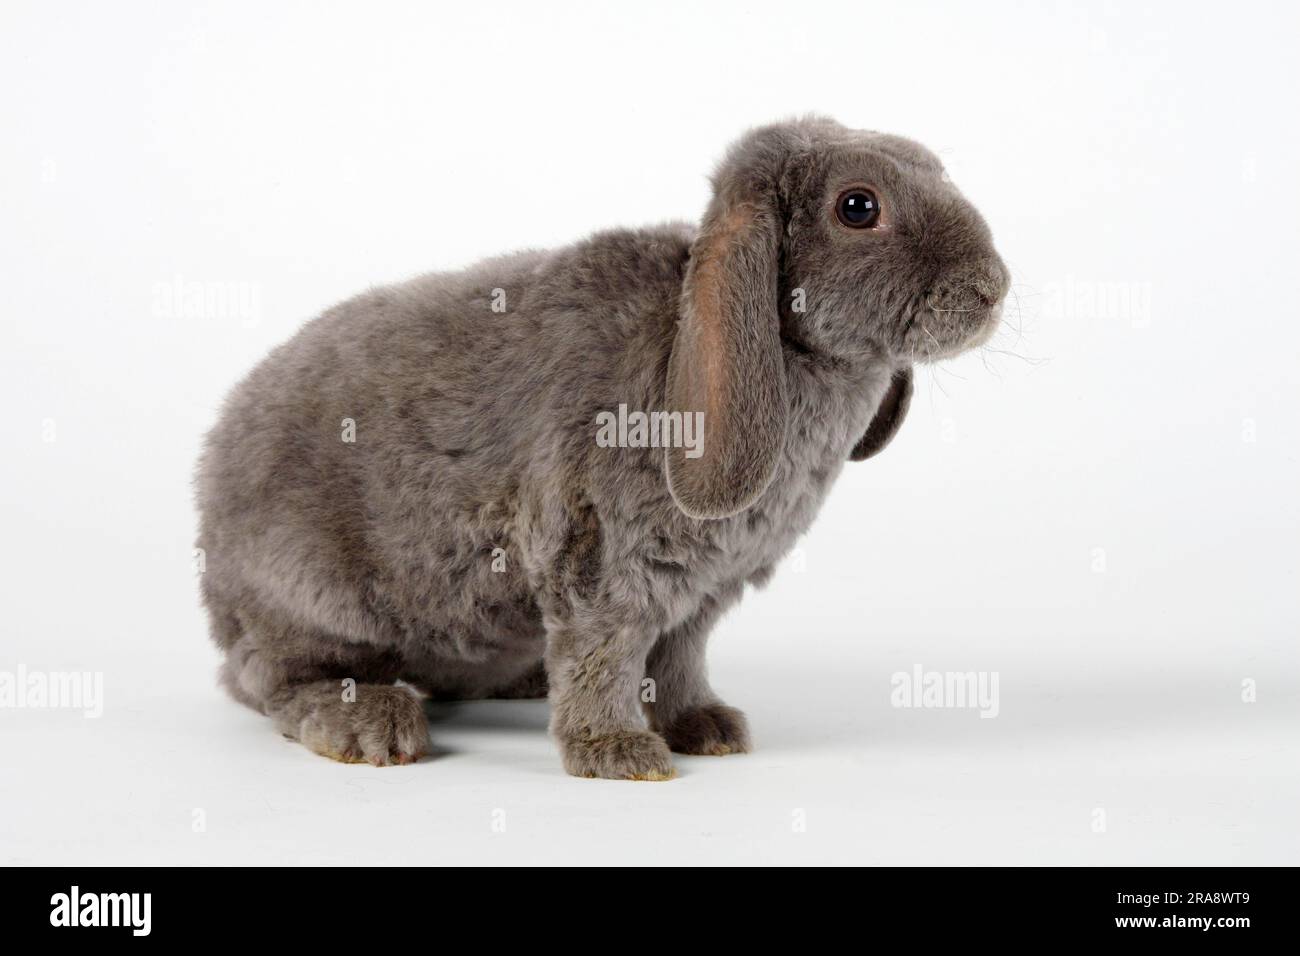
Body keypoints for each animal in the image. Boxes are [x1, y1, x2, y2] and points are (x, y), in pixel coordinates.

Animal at [195, 115, 1010, 779]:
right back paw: (369, 722)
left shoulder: (702, 591)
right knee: (267, 679)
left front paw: (705, 727)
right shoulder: (601, 559)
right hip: (316, 599)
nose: (992, 288)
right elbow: (606, 650)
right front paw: (616, 753)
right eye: (858, 207)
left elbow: (681, 656)